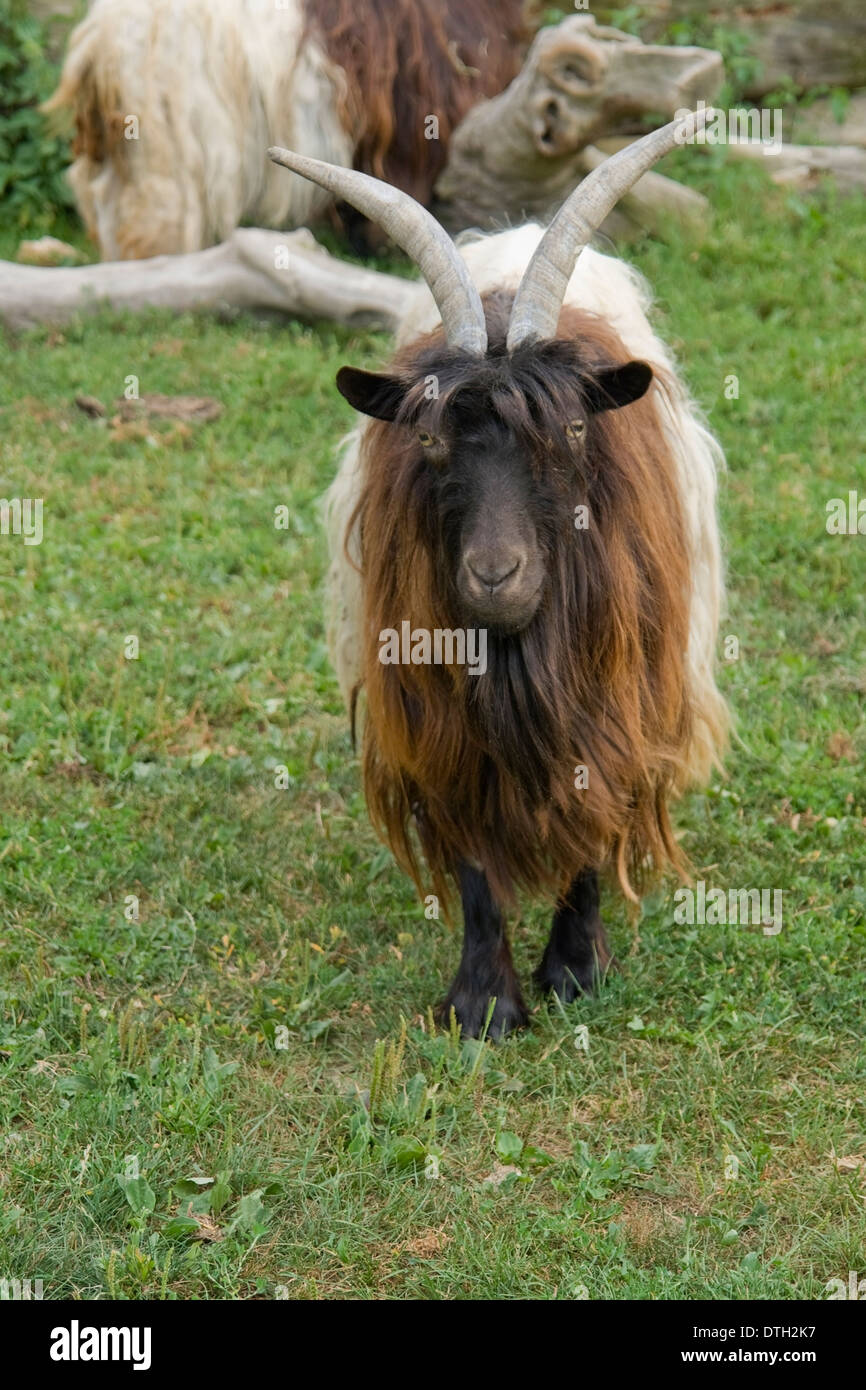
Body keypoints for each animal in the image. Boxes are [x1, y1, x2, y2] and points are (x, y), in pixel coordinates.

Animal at [270, 111, 729, 1037]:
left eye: (576, 433)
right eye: (431, 439)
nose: (495, 575)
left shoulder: (615, 695)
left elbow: (596, 813)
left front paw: (576, 971)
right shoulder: (436, 712)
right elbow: (475, 854)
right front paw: (483, 1001)